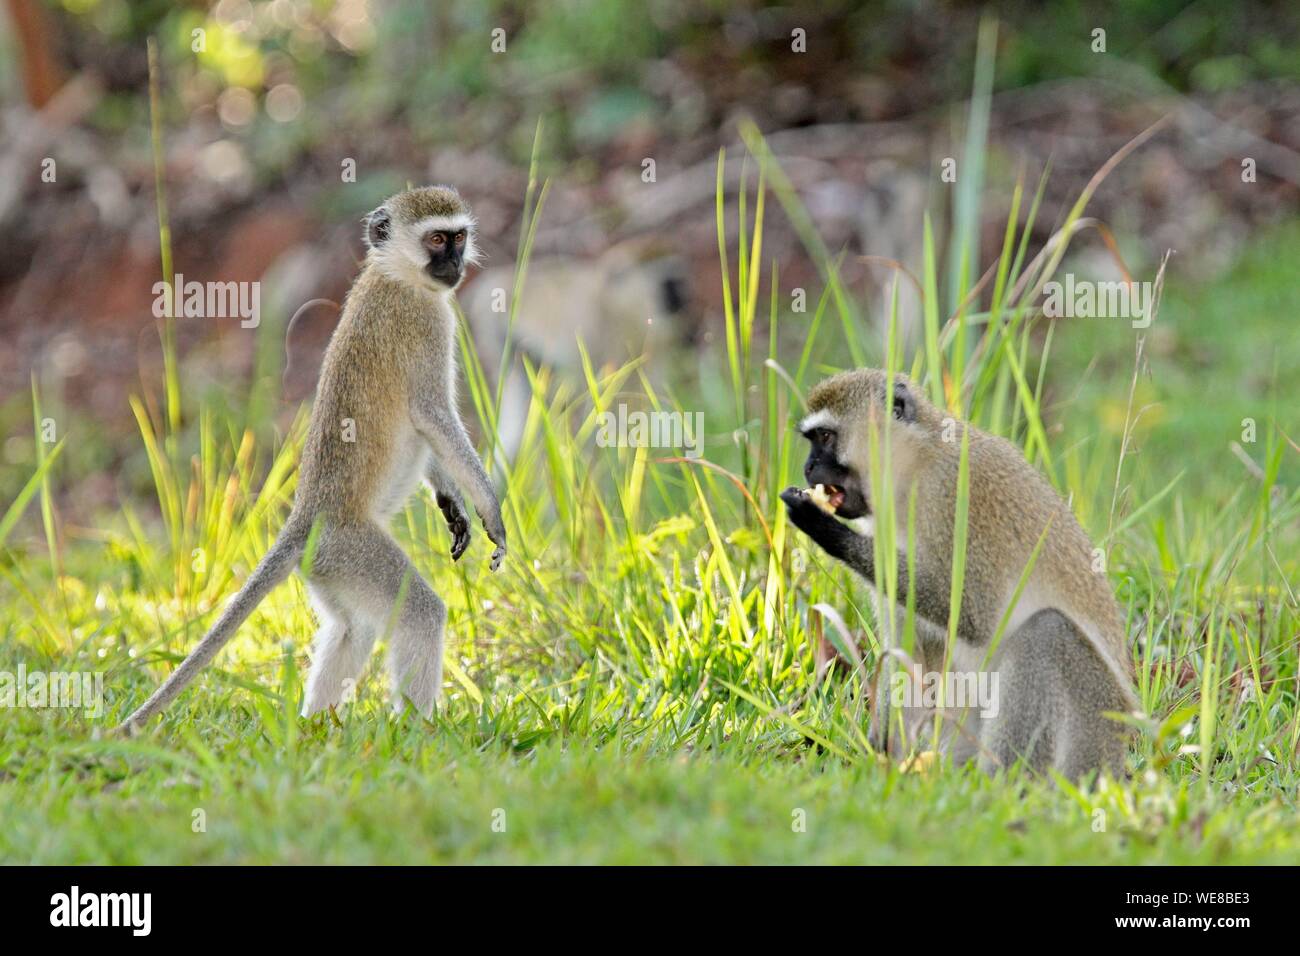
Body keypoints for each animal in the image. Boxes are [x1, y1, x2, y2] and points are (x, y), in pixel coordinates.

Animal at [118, 185, 505, 732]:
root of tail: (304, 520)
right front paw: (490, 508)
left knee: (352, 628)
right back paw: (419, 730)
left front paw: (454, 505)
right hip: (350, 550)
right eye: (436, 239)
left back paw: (316, 729)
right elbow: (433, 416)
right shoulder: (426, 323)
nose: (454, 263)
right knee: (418, 613)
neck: (393, 273)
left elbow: (430, 436)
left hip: (327, 566)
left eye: (459, 237)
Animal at [780, 368, 1136, 779]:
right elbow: (905, 644)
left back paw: (1000, 783)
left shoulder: (956, 493)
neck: (914, 471)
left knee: (1046, 632)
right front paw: (879, 757)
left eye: (824, 437)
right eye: (812, 441)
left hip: (1095, 726)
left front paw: (823, 527)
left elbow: (974, 613)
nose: (808, 467)